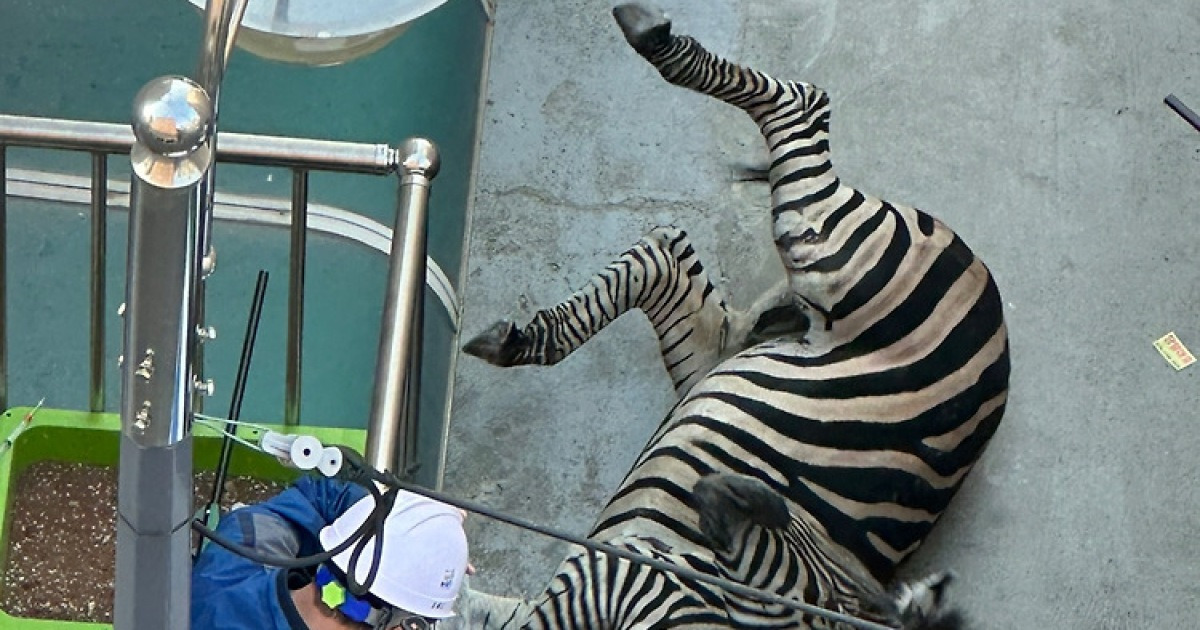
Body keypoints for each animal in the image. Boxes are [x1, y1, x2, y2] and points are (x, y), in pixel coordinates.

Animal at [453, 2, 1009, 628]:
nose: (752, 501)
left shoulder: (640, 580)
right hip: (808, 274)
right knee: (792, 116)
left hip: (808, 279)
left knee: (682, 237)